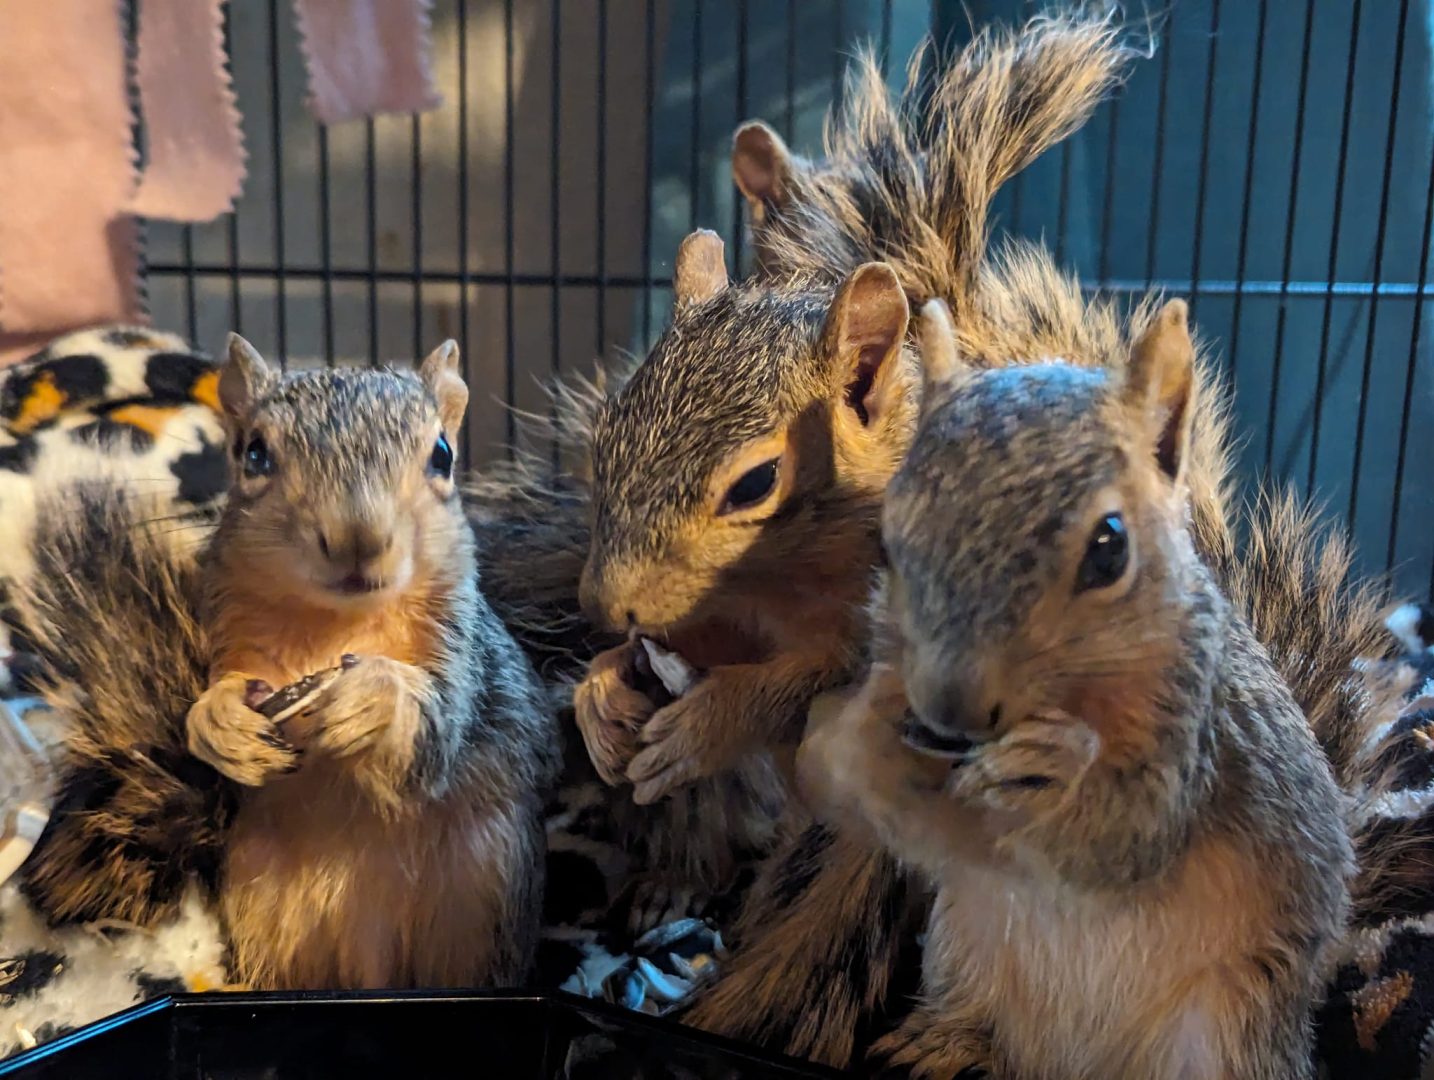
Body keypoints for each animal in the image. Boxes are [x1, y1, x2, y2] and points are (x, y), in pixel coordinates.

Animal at [12, 336, 559, 991]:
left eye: (443, 455)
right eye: (254, 455)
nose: (357, 540)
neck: (335, 623)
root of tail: (369, 975)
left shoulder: (464, 655)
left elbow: (437, 731)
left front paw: (375, 701)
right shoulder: (230, 637)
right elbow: (215, 697)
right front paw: (220, 724)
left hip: (482, 897)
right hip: (262, 901)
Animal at [796, 298, 1375, 1079]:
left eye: (1109, 549)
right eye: (886, 538)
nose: (950, 712)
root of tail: (1077, 1064)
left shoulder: (1194, 725)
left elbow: (1133, 833)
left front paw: (1058, 767)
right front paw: (840, 748)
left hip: (1230, 1025)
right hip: (962, 945)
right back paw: (946, 1041)